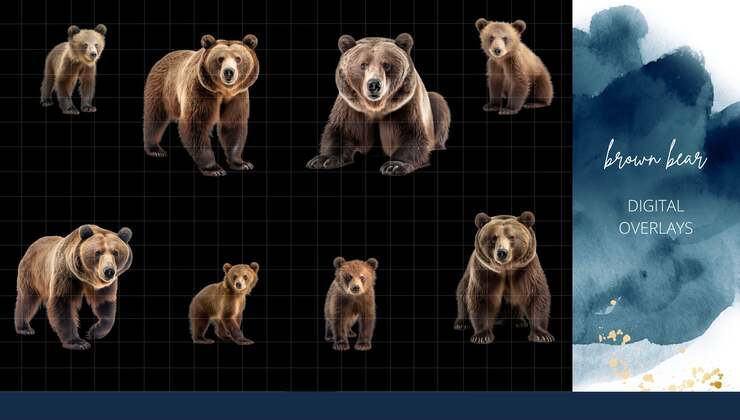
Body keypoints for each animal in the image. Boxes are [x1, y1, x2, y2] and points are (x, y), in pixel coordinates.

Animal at [143, 34, 260, 176]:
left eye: (238, 58)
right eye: (220, 59)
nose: (229, 72)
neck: (223, 91)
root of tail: (162, 58)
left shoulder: (237, 96)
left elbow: (232, 125)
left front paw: (242, 163)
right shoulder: (201, 91)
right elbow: (196, 125)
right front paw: (214, 169)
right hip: (161, 88)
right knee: (154, 116)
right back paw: (156, 150)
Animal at [307, 33, 451, 176]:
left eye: (386, 64)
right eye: (363, 65)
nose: (374, 84)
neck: (375, 107)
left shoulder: (405, 106)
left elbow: (412, 134)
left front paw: (394, 166)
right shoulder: (350, 107)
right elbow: (341, 131)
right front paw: (323, 160)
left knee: (439, 103)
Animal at [454, 211, 554, 344]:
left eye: (511, 237)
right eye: (493, 238)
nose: (502, 252)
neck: (506, 269)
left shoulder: (527, 270)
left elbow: (536, 296)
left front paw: (542, 335)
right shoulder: (485, 272)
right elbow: (481, 298)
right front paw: (482, 336)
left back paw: (518, 321)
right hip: (467, 277)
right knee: (462, 296)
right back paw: (462, 323)